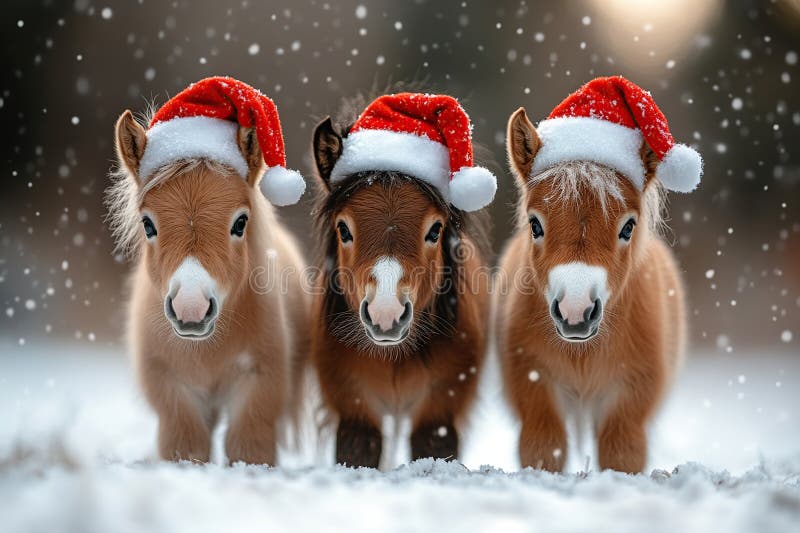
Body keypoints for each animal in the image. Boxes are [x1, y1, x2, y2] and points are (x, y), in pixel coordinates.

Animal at [106, 110, 309, 464]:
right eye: (148, 224)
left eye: (240, 222)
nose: (191, 308)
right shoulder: (173, 392)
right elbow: (187, 448)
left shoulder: (258, 386)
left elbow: (247, 448)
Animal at [494, 107, 687, 473]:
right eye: (535, 224)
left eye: (628, 227)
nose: (575, 311)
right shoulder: (537, 387)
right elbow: (545, 450)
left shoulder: (628, 397)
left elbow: (620, 455)